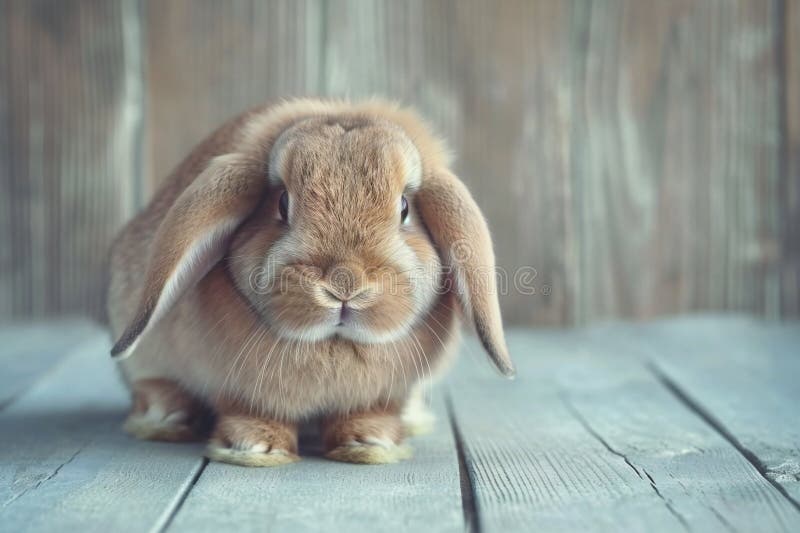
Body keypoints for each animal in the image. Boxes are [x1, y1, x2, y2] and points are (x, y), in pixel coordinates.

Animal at [107, 98, 514, 467]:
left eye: (404, 209)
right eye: (282, 204)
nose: (345, 284)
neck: (333, 345)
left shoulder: (380, 395)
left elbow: (370, 414)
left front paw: (371, 445)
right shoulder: (238, 388)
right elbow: (249, 411)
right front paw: (255, 449)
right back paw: (165, 417)